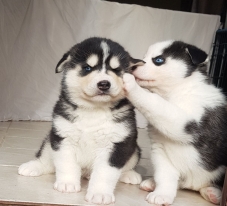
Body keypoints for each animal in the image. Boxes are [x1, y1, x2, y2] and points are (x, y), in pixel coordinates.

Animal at [18, 36, 145, 204]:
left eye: (116, 70)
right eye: (87, 68)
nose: (104, 84)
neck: (93, 110)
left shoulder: (117, 144)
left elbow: (105, 172)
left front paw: (100, 193)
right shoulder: (63, 137)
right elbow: (66, 163)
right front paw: (67, 184)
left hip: (134, 149)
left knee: (126, 165)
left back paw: (130, 174)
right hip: (50, 139)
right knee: (47, 159)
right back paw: (33, 166)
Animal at [123, 39, 227, 204]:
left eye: (158, 60)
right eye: (144, 57)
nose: (132, 67)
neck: (176, 92)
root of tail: (192, 184)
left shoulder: (185, 121)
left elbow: (155, 101)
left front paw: (130, 82)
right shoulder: (160, 150)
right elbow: (165, 176)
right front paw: (162, 194)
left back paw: (214, 192)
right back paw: (152, 183)